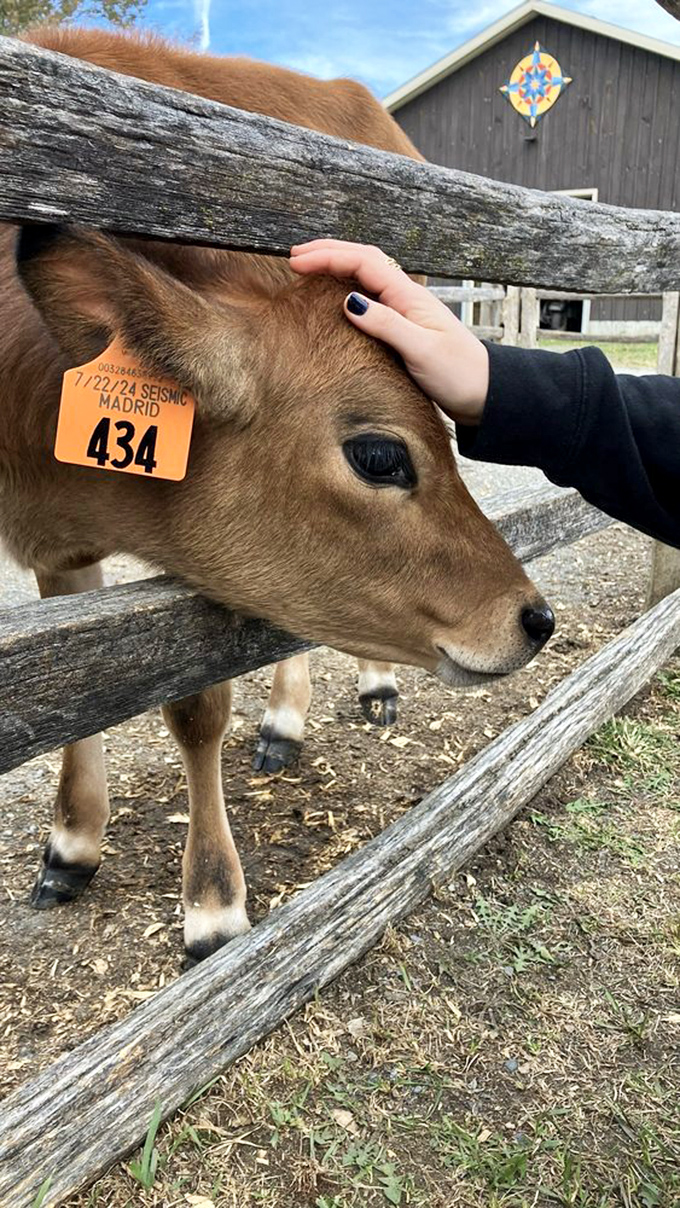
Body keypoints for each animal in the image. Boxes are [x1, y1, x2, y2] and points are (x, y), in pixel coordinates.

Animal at [2, 26, 554, 963]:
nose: (536, 618)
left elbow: (194, 702)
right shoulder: (64, 547)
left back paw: (360, 690)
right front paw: (72, 843)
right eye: (380, 455)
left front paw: (212, 903)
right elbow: (73, 694)